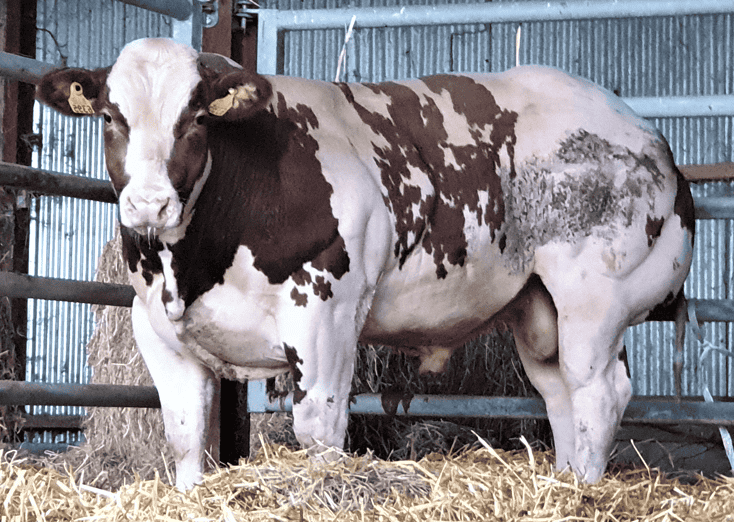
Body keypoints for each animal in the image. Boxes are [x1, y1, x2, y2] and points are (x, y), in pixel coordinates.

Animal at [38, 38, 694, 490]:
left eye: (196, 118)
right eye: (109, 118)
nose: (149, 203)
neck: (197, 261)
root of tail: (649, 136)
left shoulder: (325, 311)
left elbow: (318, 430)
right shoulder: (155, 325)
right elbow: (183, 434)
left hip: (595, 299)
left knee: (599, 392)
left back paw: (584, 489)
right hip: (538, 309)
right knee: (560, 393)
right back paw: (561, 481)